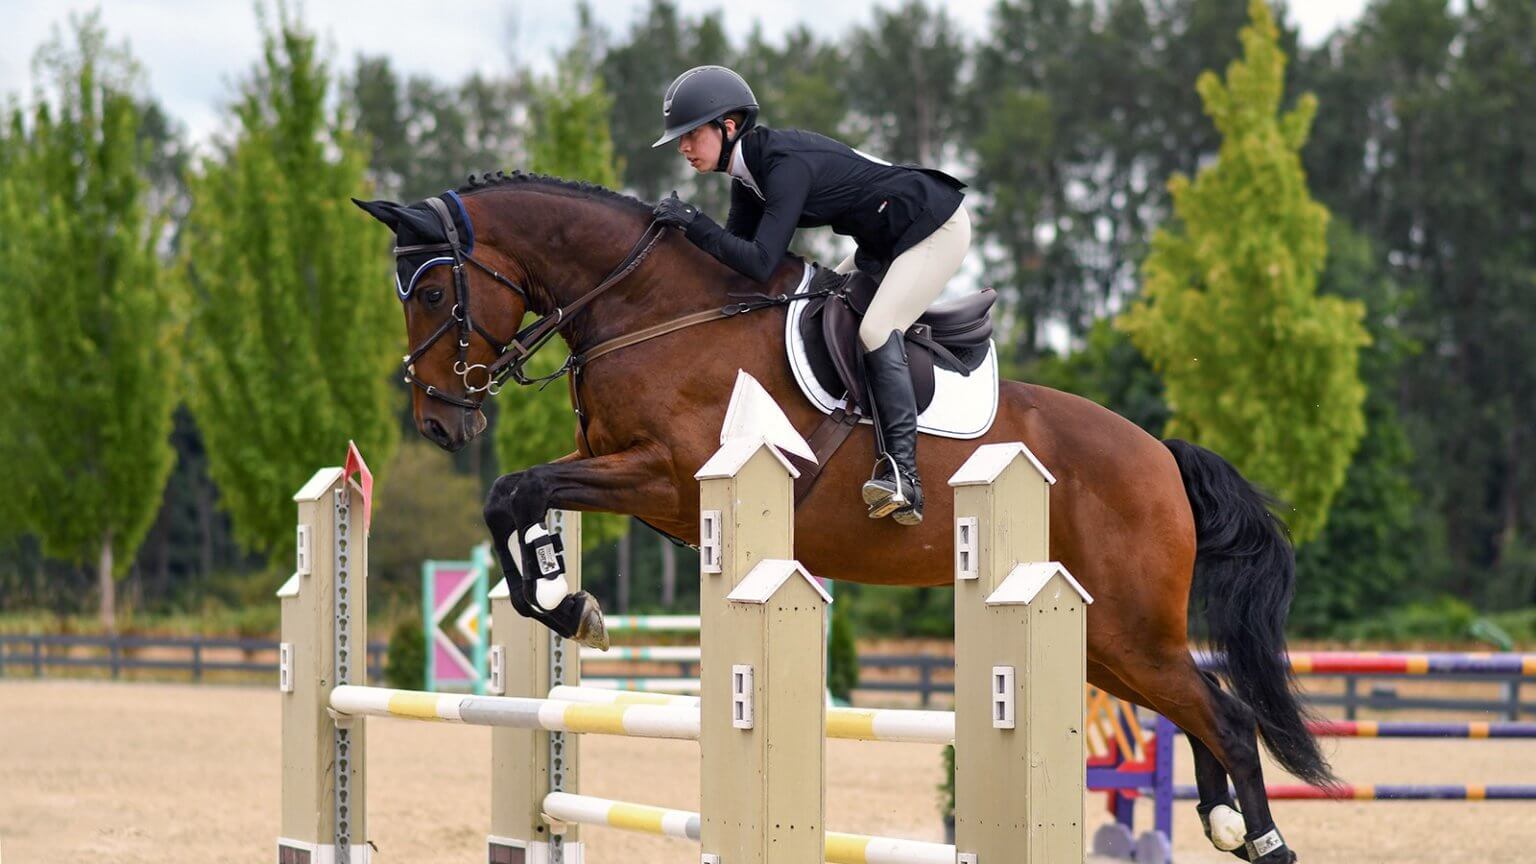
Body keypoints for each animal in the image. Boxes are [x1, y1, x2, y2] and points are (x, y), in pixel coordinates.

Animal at [355, 171, 1332, 864]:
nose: (441, 422)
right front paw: (561, 597)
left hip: (1126, 627)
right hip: (1103, 641)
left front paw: (564, 601)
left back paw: (1263, 840)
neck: (655, 313)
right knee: (1199, 706)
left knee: (1226, 716)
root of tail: (1160, 452)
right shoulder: (629, 479)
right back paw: (1223, 824)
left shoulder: (666, 479)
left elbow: (518, 488)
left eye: (433, 295)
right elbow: (514, 496)